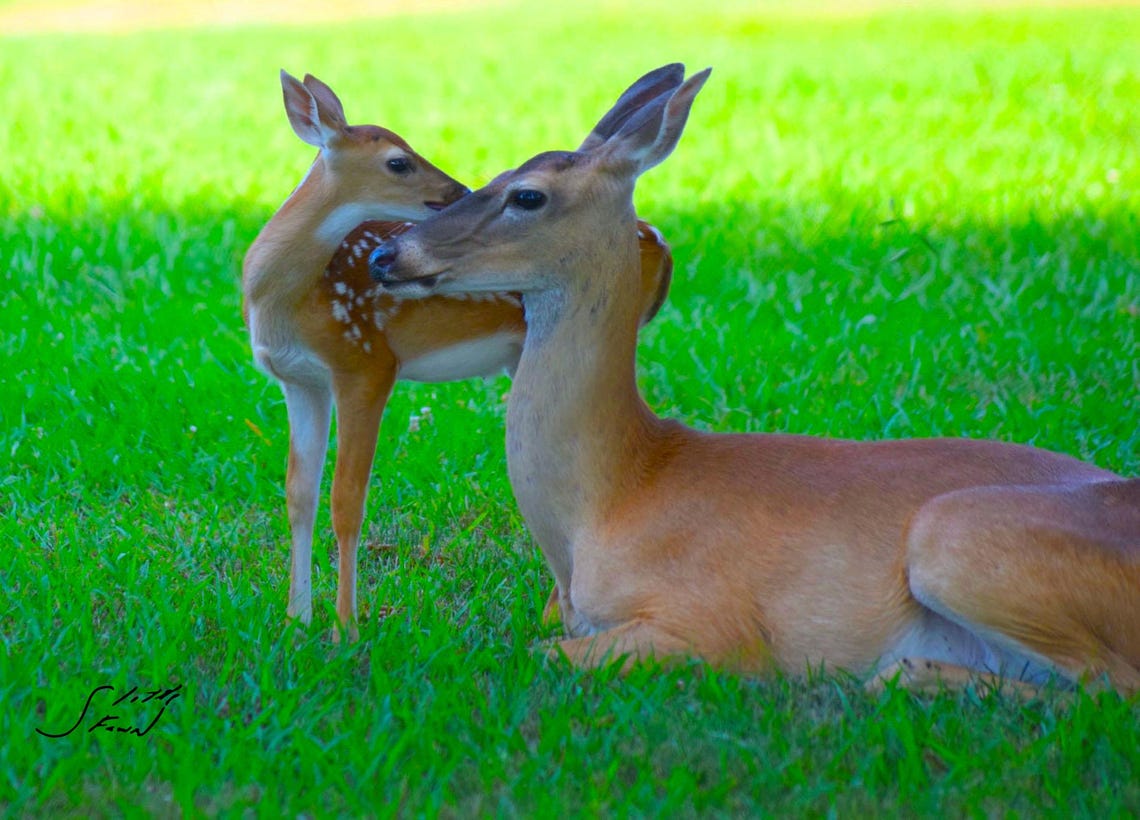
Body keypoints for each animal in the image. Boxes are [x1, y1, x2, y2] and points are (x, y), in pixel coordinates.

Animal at [242, 70, 677, 640]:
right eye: (399, 161)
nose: (458, 191)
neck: (289, 301)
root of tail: (662, 242)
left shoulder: (366, 362)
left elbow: (347, 499)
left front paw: (346, 630)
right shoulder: (299, 380)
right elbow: (299, 494)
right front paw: (296, 622)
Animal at [369, 64, 1140, 692]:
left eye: (527, 196)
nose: (386, 254)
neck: (613, 495)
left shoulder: (711, 622)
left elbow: (539, 654)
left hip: (954, 536)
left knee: (1108, 683)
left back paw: (908, 674)